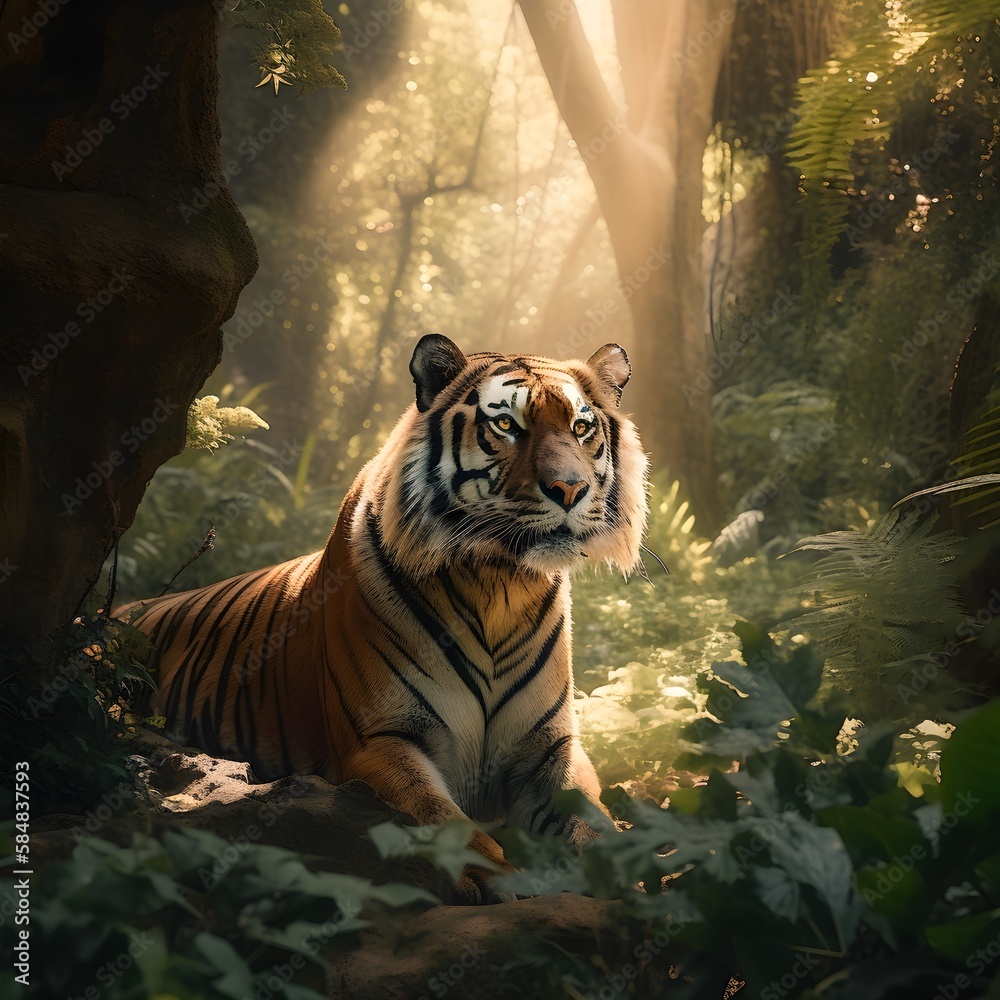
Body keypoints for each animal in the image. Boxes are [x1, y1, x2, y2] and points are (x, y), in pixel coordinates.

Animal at [118, 335, 648, 894]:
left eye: (581, 428)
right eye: (506, 424)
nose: (570, 489)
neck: (499, 583)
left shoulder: (552, 748)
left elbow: (591, 822)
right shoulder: (379, 741)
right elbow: (441, 818)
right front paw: (498, 878)